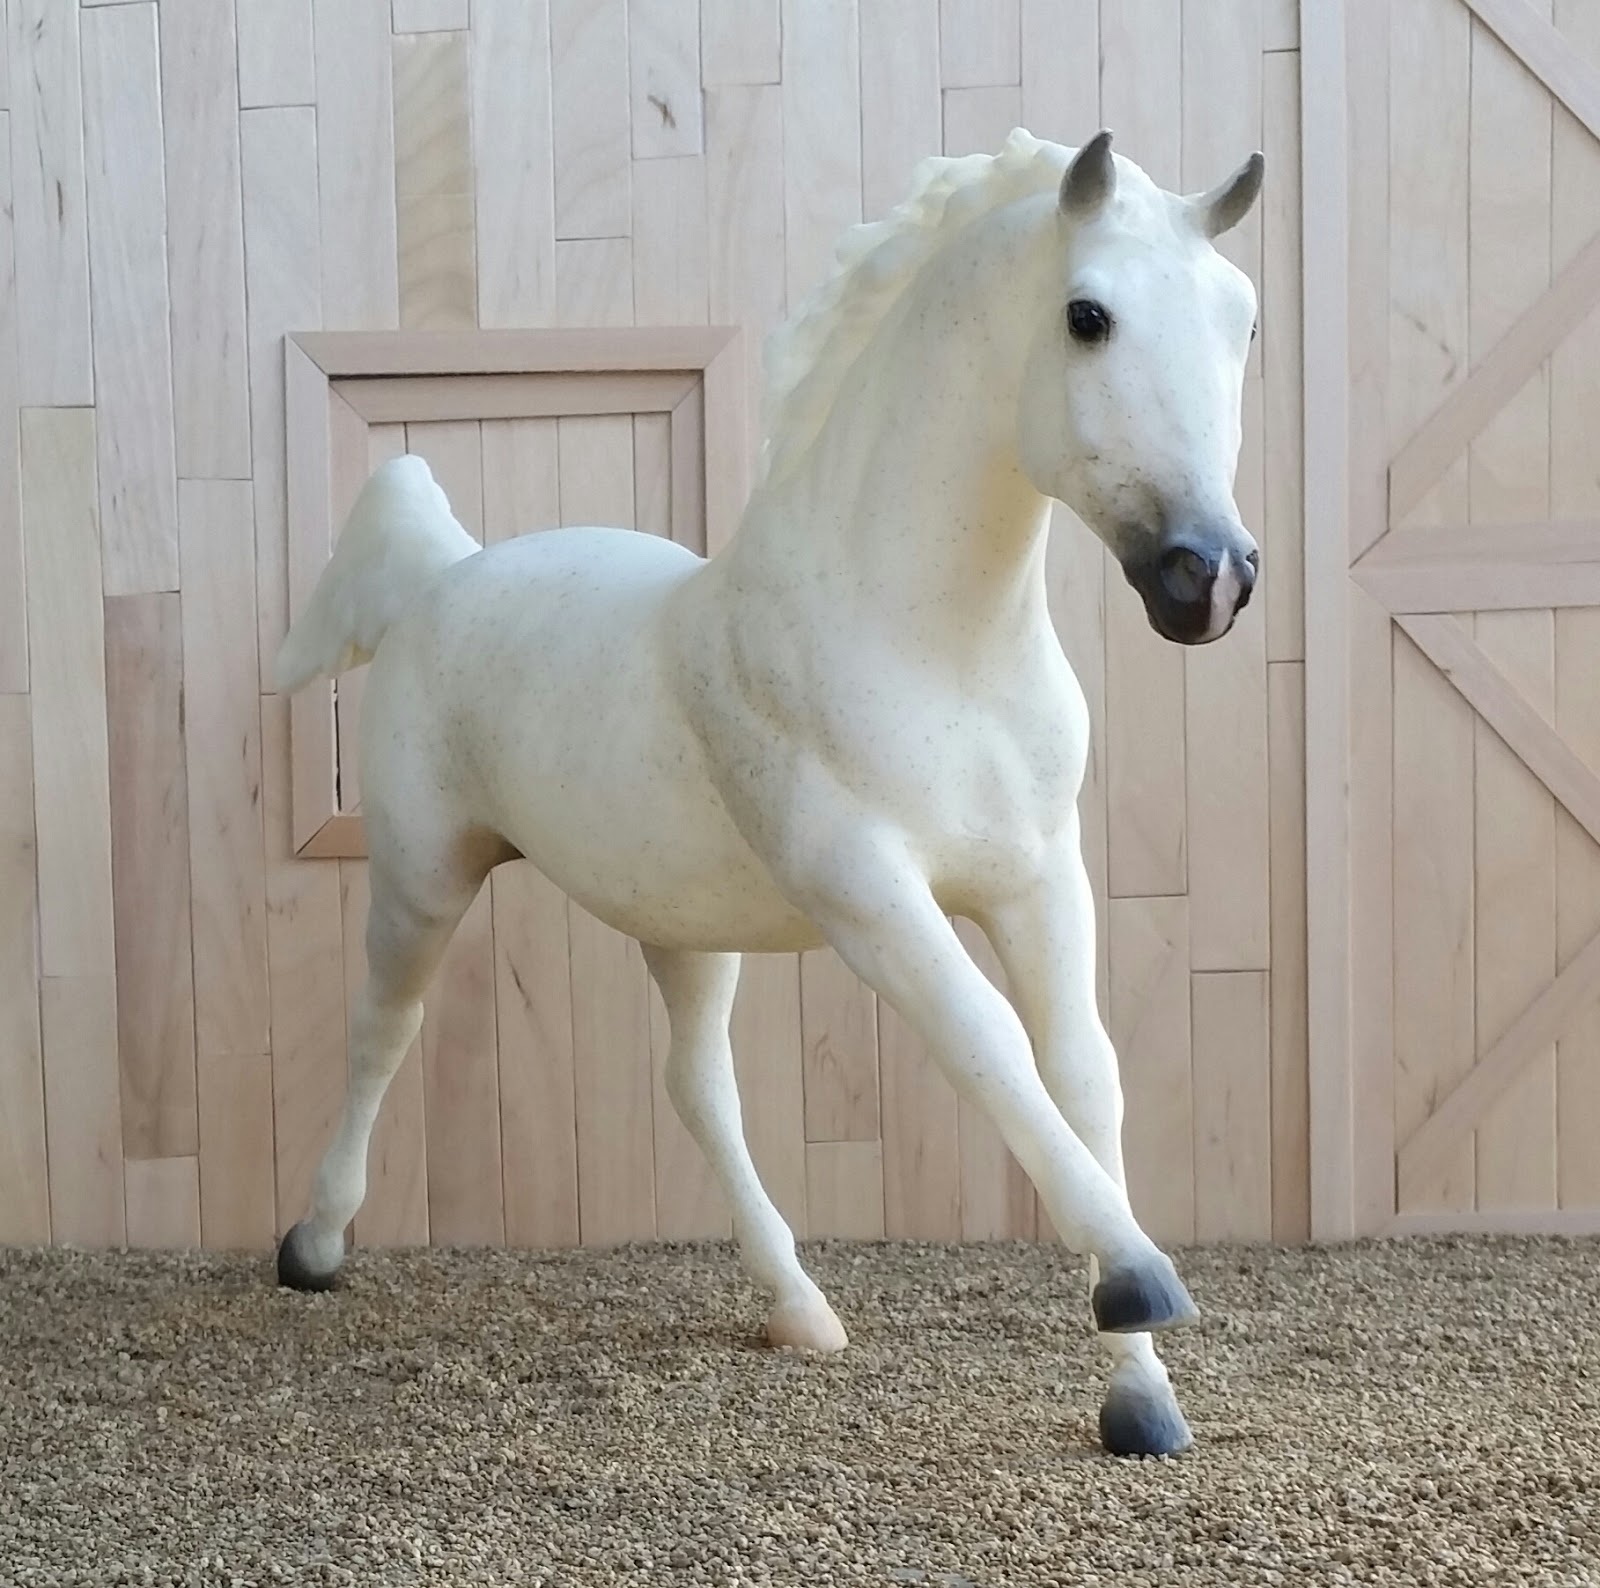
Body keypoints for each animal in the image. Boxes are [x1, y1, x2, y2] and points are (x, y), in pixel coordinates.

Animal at [274, 127, 1265, 1459]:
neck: (925, 643)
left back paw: (799, 1308)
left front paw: (1141, 1395)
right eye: (1087, 315)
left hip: (685, 925)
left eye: (1241, 317)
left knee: (698, 1088)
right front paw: (1136, 1276)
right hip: (422, 876)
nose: (1207, 577)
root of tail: (443, 575)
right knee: (383, 1031)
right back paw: (314, 1245)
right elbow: (988, 1044)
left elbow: (1081, 1071)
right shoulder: (869, 895)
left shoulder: (1040, 880)